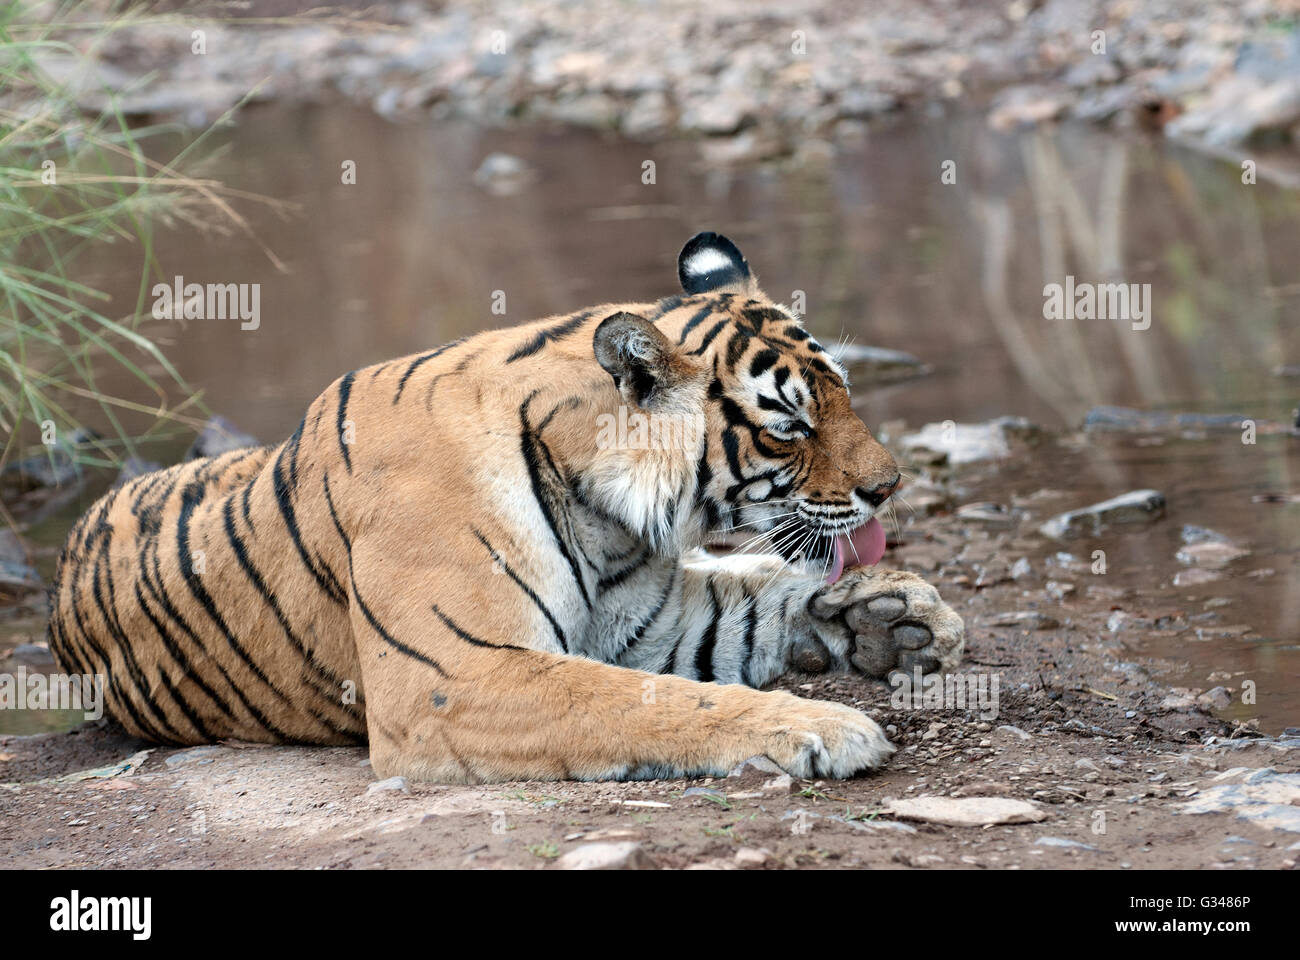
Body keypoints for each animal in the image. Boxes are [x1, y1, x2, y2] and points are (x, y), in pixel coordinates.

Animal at [47, 231, 964, 783]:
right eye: (789, 425)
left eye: (843, 395)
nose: (889, 486)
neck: (605, 513)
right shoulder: (451, 679)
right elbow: (653, 702)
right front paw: (827, 728)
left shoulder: (654, 626)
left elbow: (761, 599)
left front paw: (895, 615)